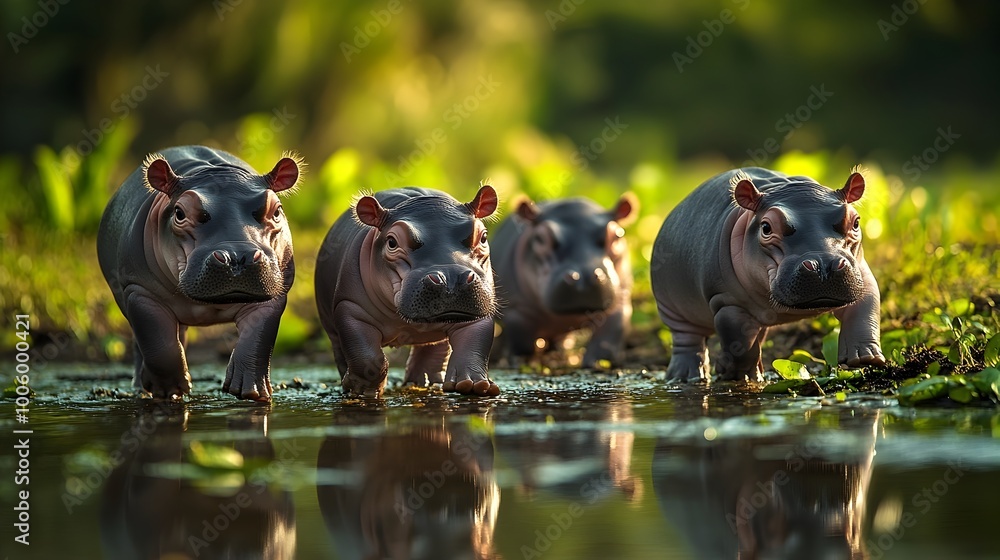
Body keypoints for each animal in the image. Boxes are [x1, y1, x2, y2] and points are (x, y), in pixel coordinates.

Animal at [97, 145, 301, 401]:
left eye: (277, 211)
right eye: (179, 213)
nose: (237, 257)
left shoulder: (273, 295)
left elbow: (257, 340)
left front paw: (252, 392)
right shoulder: (139, 291)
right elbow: (159, 344)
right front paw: (170, 390)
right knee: (144, 343)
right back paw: (141, 386)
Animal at [314, 185, 501, 397]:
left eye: (483, 237)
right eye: (392, 242)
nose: (451, 278)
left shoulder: (478, 312)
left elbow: (473, 349)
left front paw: (474, 386)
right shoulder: (350, 308)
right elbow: (368, 357)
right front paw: (361, 390)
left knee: (434, 348)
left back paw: (426, 382)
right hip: (332, 328)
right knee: (341, 352)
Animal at [490, 194, 637, 367]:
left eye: (617, 235)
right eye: (540, 238)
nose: (583, 278)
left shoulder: (618, 304)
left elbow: (609, 337)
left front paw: (597, 363)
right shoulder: (518, 310)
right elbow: (522, 342)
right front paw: (522, 362)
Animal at [651, 167, 884, 382]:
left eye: (856, 222)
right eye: (766, 227)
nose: (824, 265)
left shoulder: (863, 279)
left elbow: (864, 314)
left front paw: (866, 358)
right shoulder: (728, 302)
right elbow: (740, 345)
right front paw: (737, 375)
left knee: (757, 336)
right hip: (675, 311)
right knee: (688, 342)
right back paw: (686, 377)